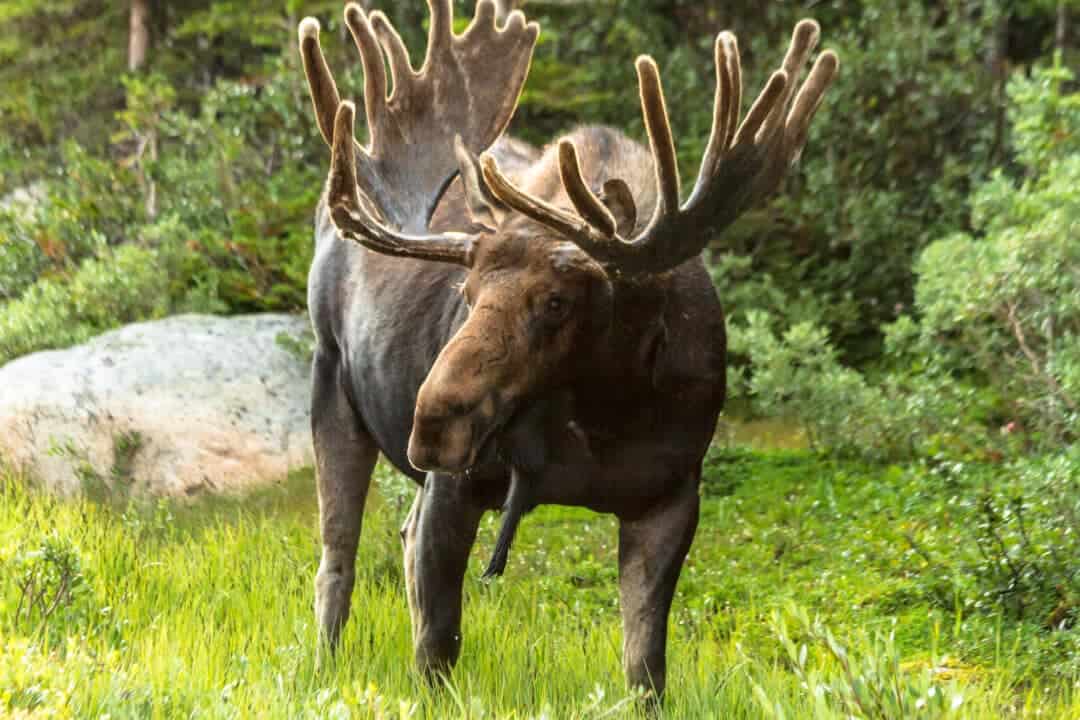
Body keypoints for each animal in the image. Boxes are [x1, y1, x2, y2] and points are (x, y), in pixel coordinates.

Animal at [297, 0, 836, 700]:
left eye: (556, 302)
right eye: (467, 293)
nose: (431, 423)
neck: (604, 412)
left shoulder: (670, 496)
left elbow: (646, 669)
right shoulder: (453, 489)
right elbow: (437, 650)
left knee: (397, 538)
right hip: (331, 383)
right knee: (337, 561)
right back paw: (322, 670)